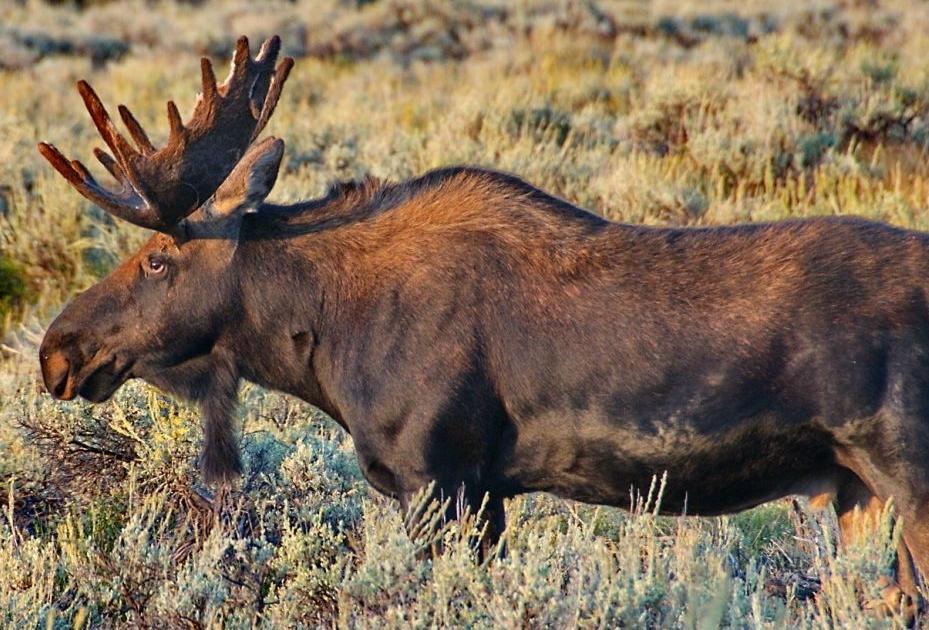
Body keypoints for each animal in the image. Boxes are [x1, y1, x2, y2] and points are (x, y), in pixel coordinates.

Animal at [37, 36, 928, 619]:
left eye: (158, 257)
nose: (57, 350)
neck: (325, 339)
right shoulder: (487, 491)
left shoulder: (437, 476)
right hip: (852, 487)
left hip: (903, 467)